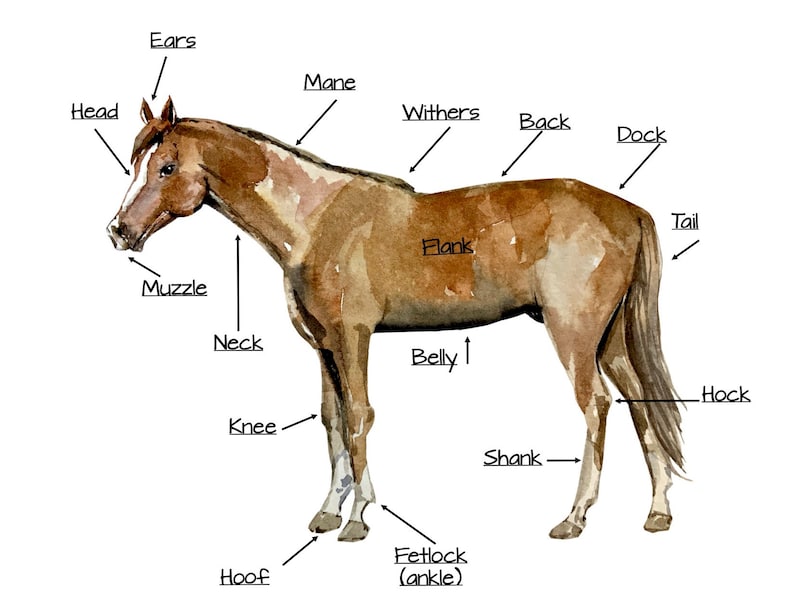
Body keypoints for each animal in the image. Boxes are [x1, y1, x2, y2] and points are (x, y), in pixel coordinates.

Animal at [107, 98, 684, 541]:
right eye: (135, 163)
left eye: (165, 167)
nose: (118, 231)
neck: (314, 221)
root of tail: (629, 211)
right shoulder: (323, 345)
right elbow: (332, 419)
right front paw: (326, 513)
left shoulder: (353, 336)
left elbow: (360, 416)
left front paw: (358, 520)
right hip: (610, 338)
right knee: (640, 402)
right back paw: (657, 513)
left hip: (574, 333)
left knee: (596, 406)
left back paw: (574, 518)